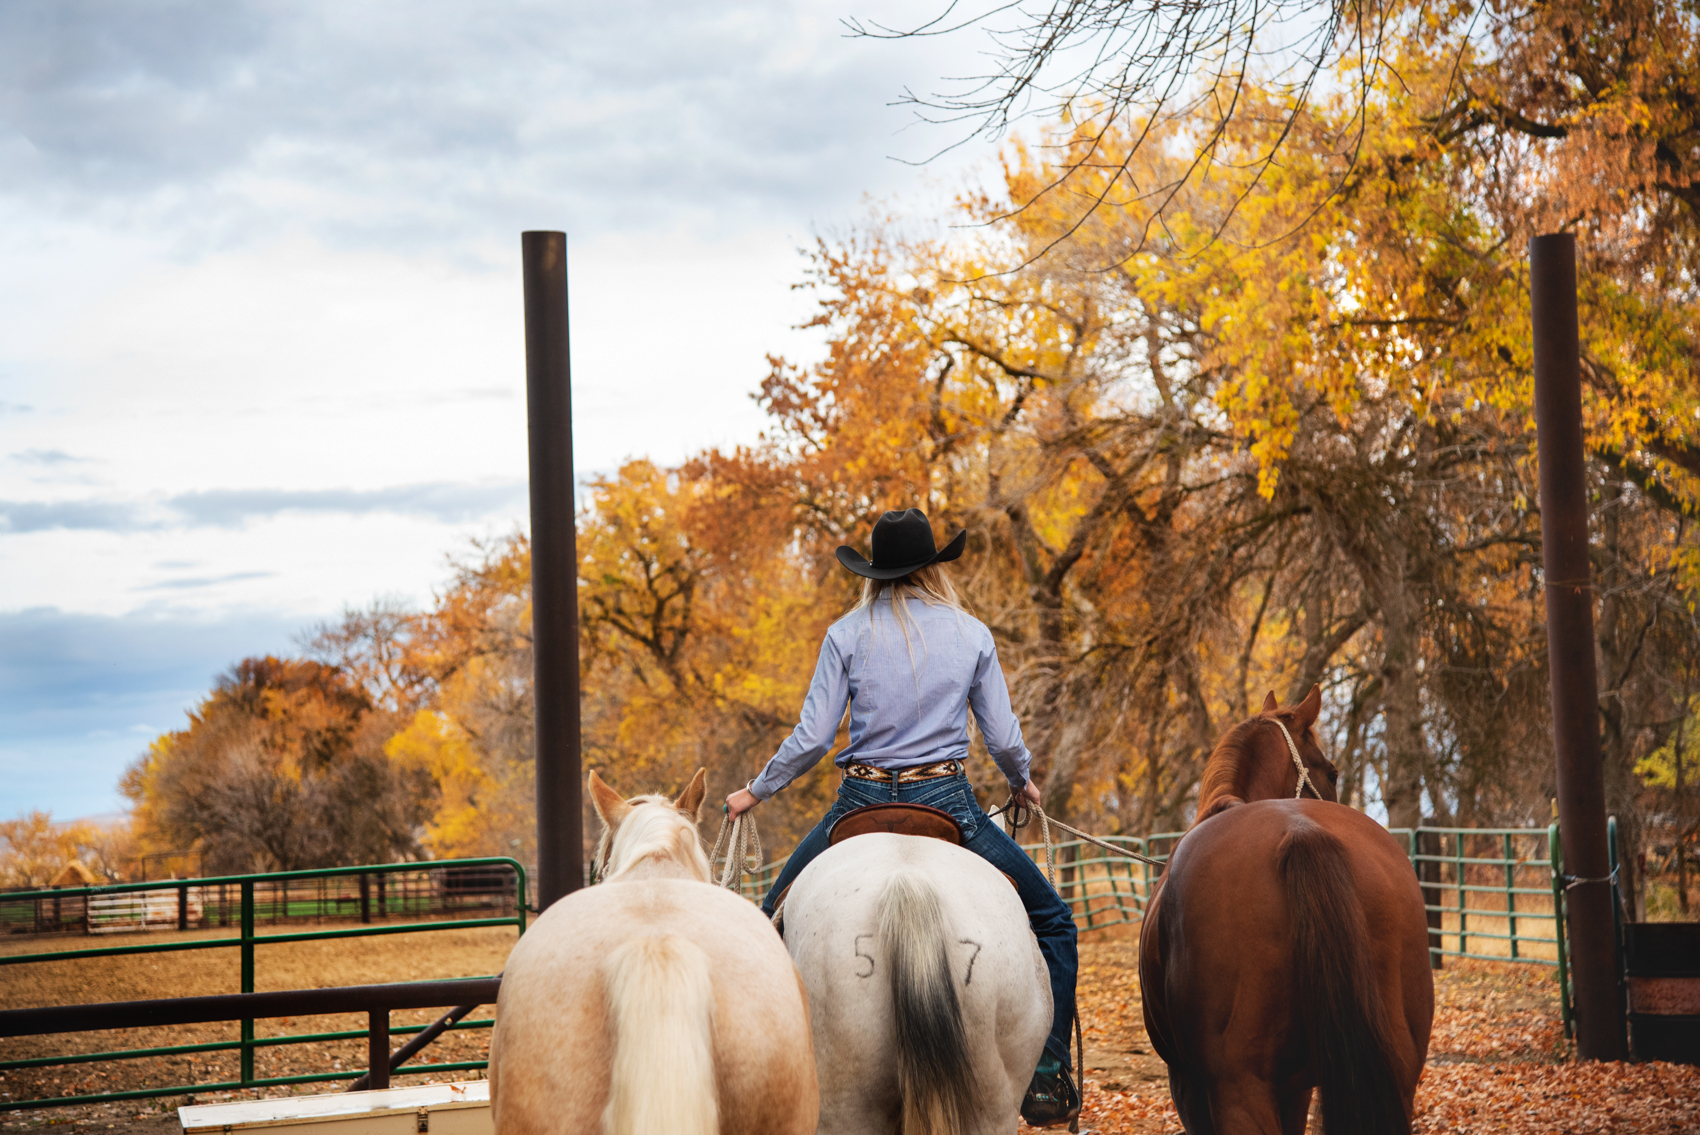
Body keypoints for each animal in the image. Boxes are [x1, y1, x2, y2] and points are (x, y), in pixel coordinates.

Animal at [1139, 686, 1434, 1135]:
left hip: (1238, 1090)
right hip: (1399, 1071)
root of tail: (1300, 830)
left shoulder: (1189, 1084)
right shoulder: (1297, 1086)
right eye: (1332, 773)